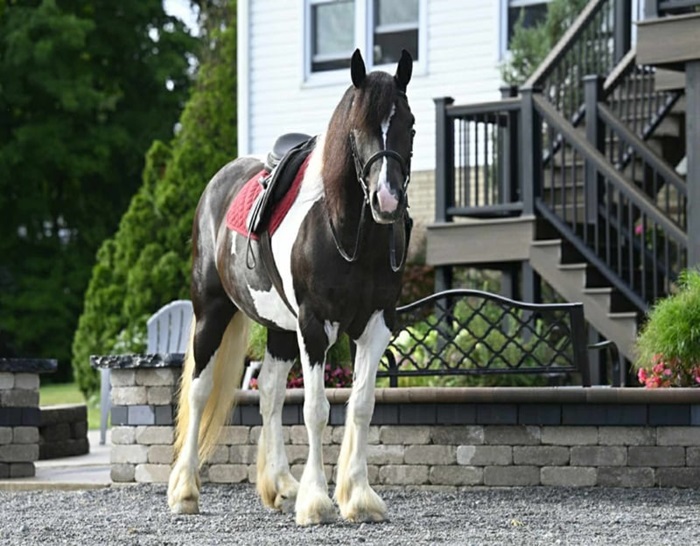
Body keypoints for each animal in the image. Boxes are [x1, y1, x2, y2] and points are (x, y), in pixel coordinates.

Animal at [167, 48, 414, 526]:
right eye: (357, 128)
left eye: (409, 124)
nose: (387, 201)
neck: (348, 233)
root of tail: (217, 183)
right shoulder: (315, 326)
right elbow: (316, 410)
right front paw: (318, 501)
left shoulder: (376, 325)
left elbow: (361, 405)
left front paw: (358, 497)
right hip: (212, 312)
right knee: (200, 390)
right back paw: (185, 491)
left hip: (280, 329)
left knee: (268, 392)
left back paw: (282, 486)